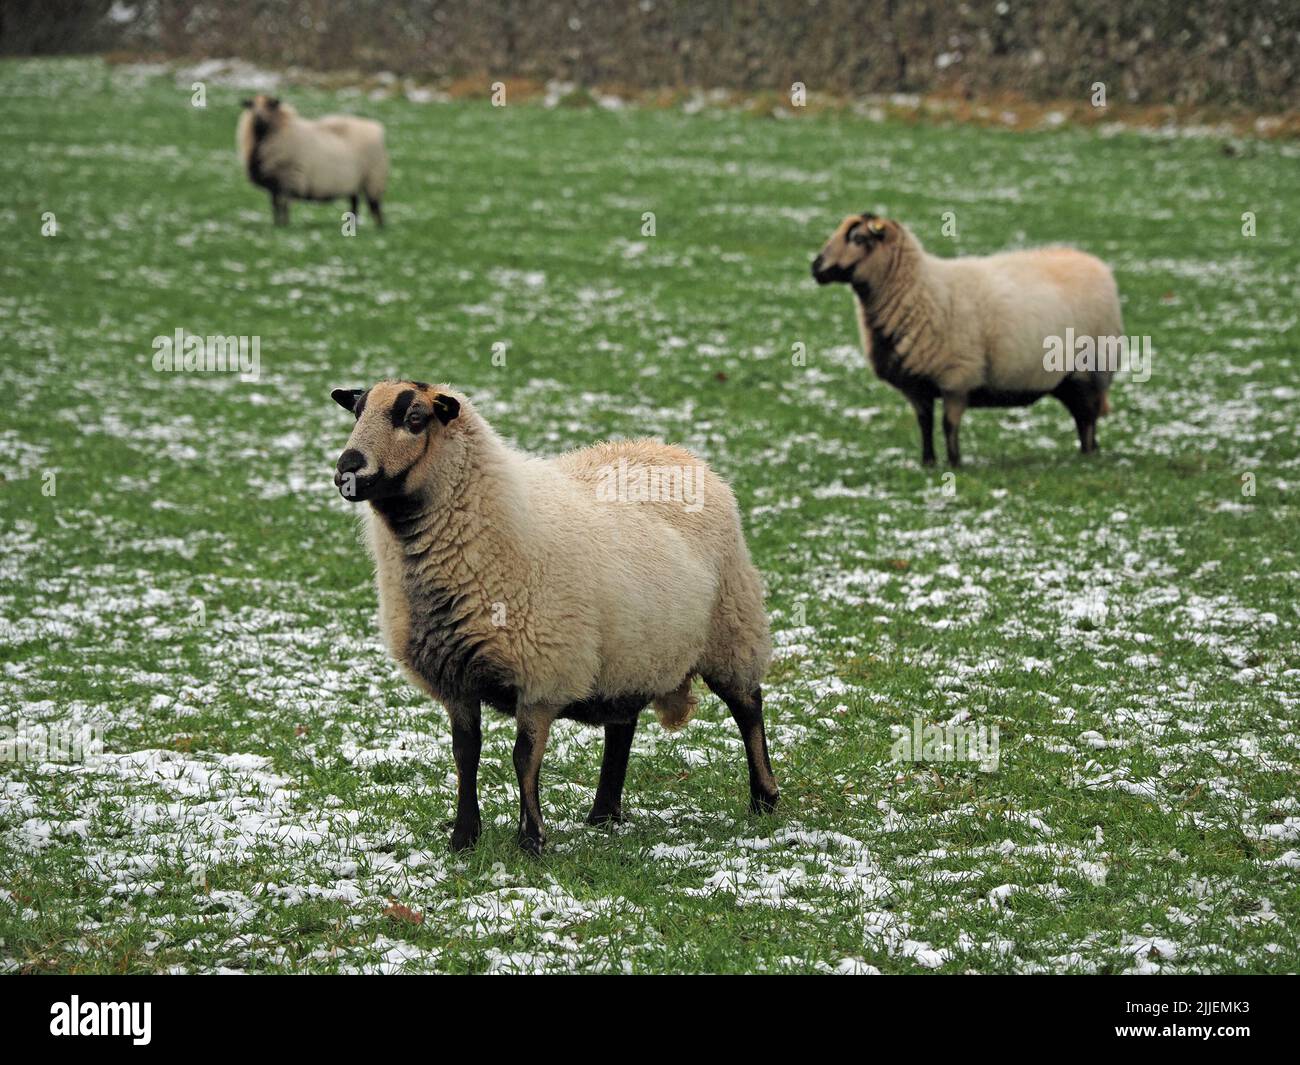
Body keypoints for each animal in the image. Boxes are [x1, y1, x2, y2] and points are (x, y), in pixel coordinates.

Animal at [237, 94, 388, 227]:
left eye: (269, 105)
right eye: (251, 105)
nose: (257, 116)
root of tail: (377, 128)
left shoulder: (288, 180)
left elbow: (284, 205)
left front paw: (284, 225)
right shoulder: (274, 184)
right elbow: (275, 206)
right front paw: (276, 224)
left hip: (374, 177)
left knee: (375, 205)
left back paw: (380, 227)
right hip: (353, 182)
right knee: (354, 204)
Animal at [330, 380, 778, 854]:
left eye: (415, 419)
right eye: (357, 412)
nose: (347, 470)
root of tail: (673, 450)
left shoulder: (542, 673)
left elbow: (524, 756)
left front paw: (531, 840)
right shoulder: (456, 679)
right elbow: (465, 754)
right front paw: (464, 837)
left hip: (731, 626)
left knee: (748, 706)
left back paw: (764, 798)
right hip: (631, 650)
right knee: (622, 726)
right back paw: (604, 814)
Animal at [812, 213, 1122, 466]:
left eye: (858, 239)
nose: (815, 268)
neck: (918, 289)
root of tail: (1097, 265)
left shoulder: (957, 377)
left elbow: (949, 424)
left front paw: (955, 463)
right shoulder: (917, 385)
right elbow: (924, 423)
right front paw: (928, 462)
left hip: (1088, 368)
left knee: (1087, 415)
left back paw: (1088, 453)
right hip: (1066, 378)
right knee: (1083, 413)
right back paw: (1089, 450)